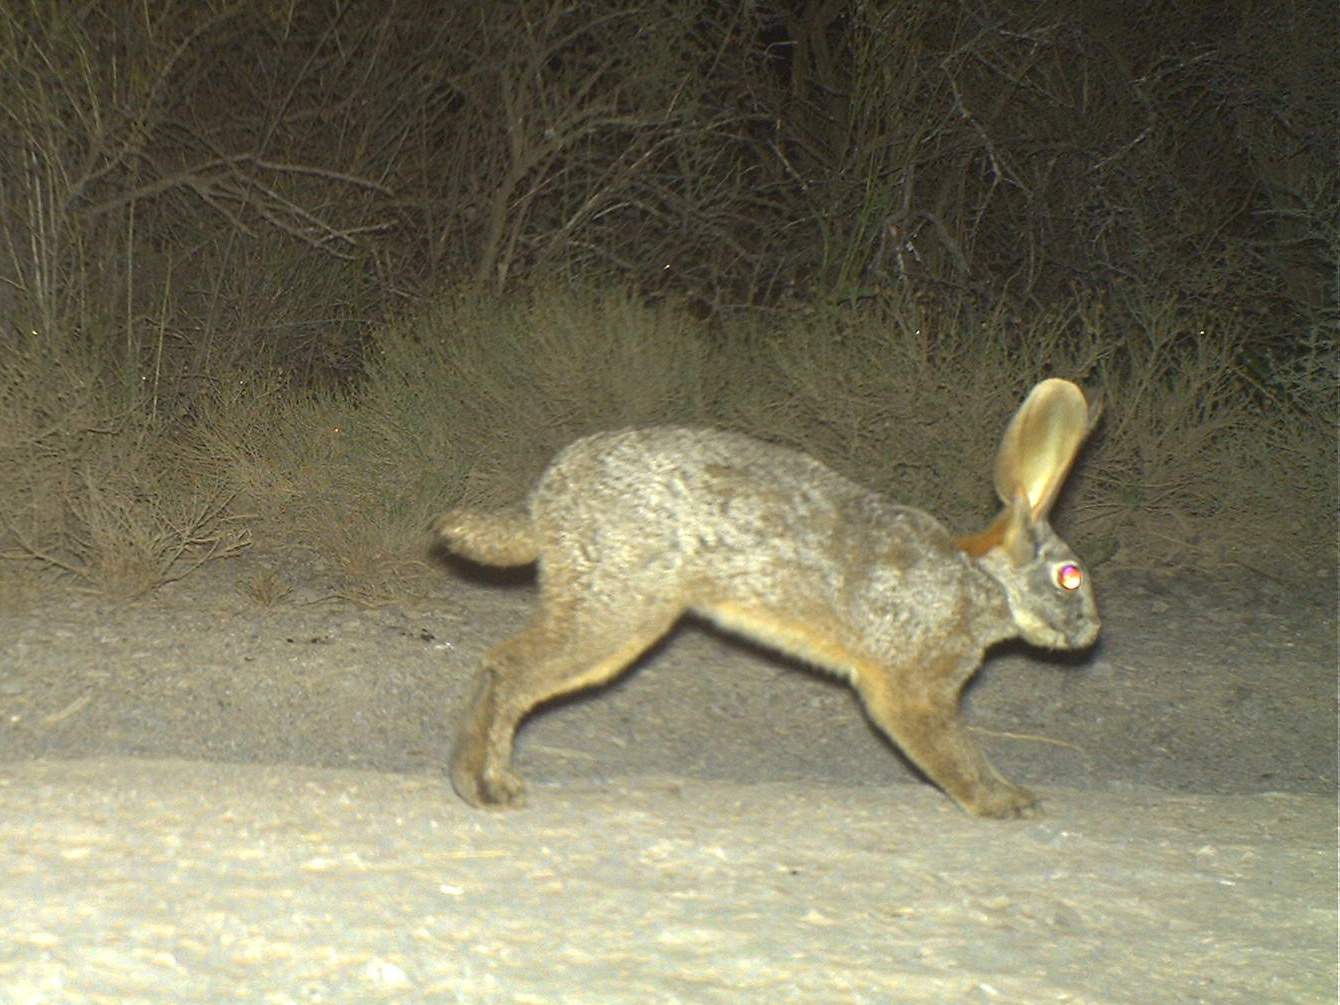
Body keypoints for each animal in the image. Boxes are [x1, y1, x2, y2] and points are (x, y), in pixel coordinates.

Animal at [430, 378, 1101, 818]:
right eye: (1070, 577)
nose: (1092, 630)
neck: (985, 583)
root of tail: (545, 499)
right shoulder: (911, 685)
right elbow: (953, 752)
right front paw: (1005, 802)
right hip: (618, 611)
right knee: (509, 668)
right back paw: (486, 787)